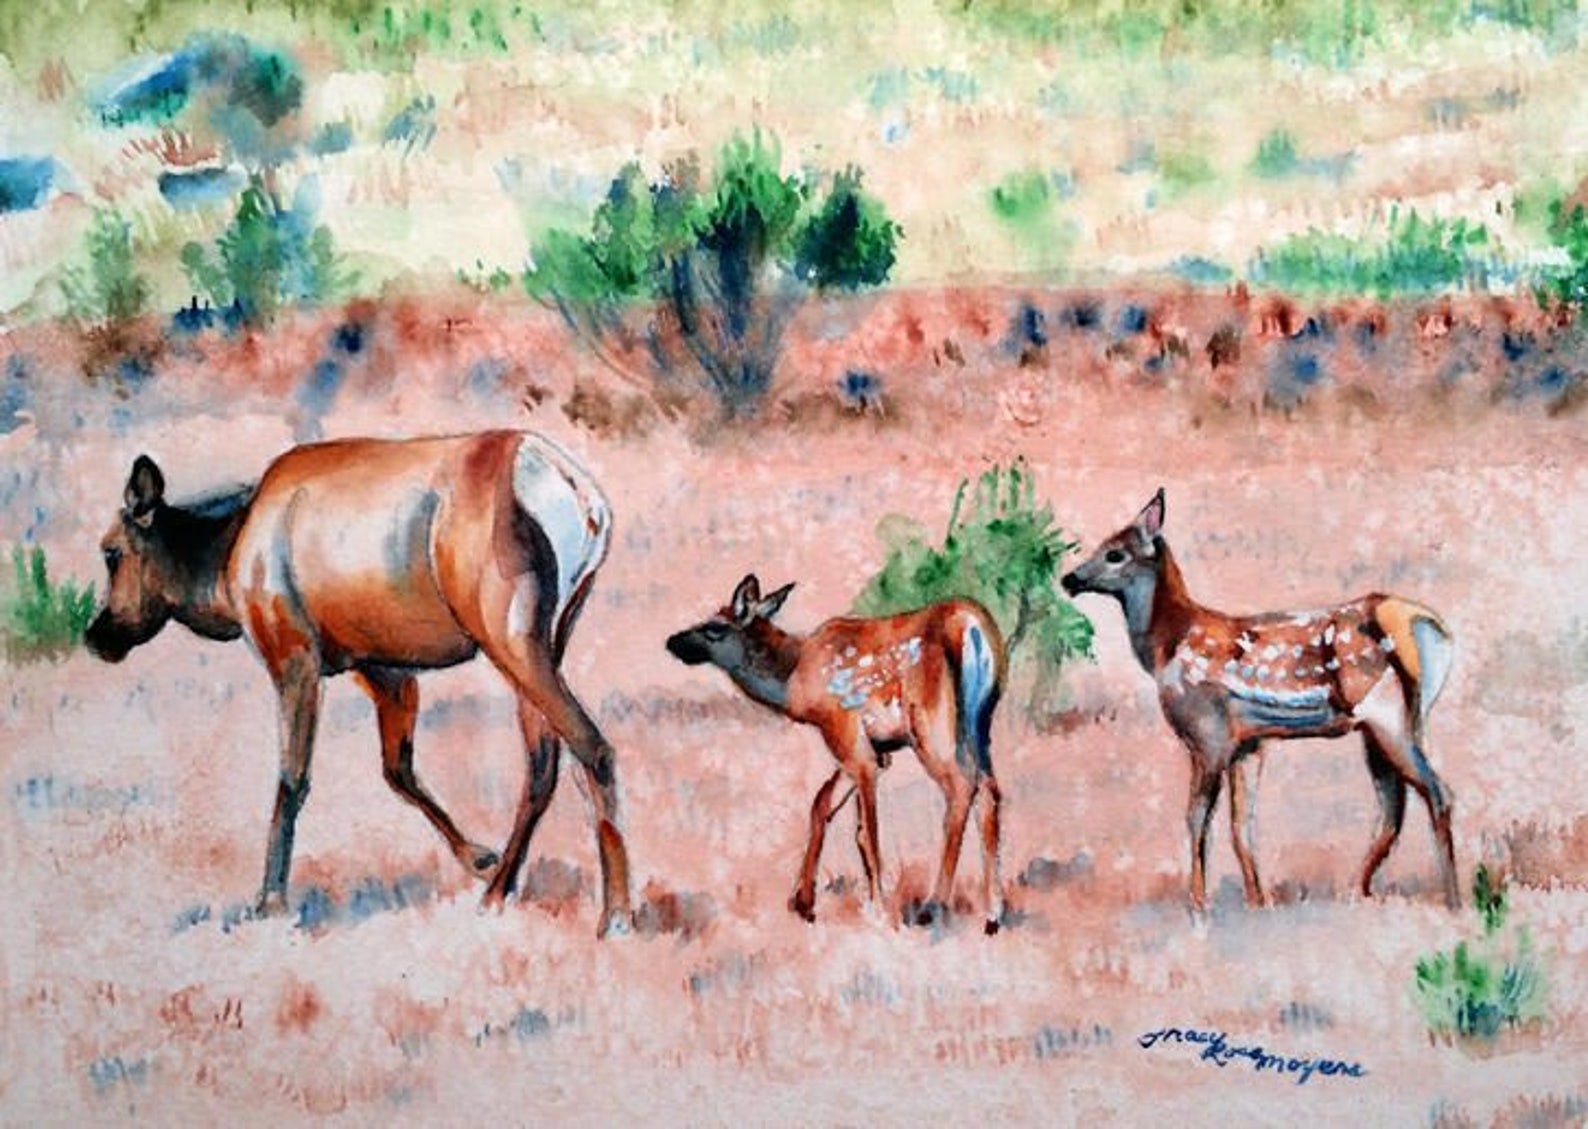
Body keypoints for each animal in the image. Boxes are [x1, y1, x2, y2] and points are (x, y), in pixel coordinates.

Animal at [84, 430, 633, 937]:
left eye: (111, 552)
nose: (97, 636)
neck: (223, 567)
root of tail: (588, 503)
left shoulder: (294, 656)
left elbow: (293, 777)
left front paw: (270, 901)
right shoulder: (382, 667)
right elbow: (397, 769)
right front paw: (479, 856)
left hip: (510, 635)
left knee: (594, 747)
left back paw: (616, 915)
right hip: (551, 636)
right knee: (544, 764)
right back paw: (499, 890)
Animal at [666, 576, 1007, 933]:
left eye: (714, 627)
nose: (672, 641)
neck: (795, 679)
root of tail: (971, 626)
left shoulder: (845, 732)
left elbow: (865, 831)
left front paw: (879, 910)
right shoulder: (875, 749)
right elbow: (822, 804)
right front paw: (803, 902)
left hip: (929, 720)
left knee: (961, 785)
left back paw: (933, 906)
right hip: (980, 722)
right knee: (989, 789)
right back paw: (993, 915)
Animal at [1061, 490, 1459, 912]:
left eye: (1115, 553)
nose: (1069, 579)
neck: (1168, 646)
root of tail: (1423, 624)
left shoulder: (1209, 734)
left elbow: (1197, 817)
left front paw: (1198, 903)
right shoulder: (1249, 742)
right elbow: (1242, 825)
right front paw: (1258, 900)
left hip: (1384, 713)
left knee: (1436, 793)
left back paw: (1452, 900)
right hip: (1386, 723)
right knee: (1392, 806)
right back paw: (1358, 892)